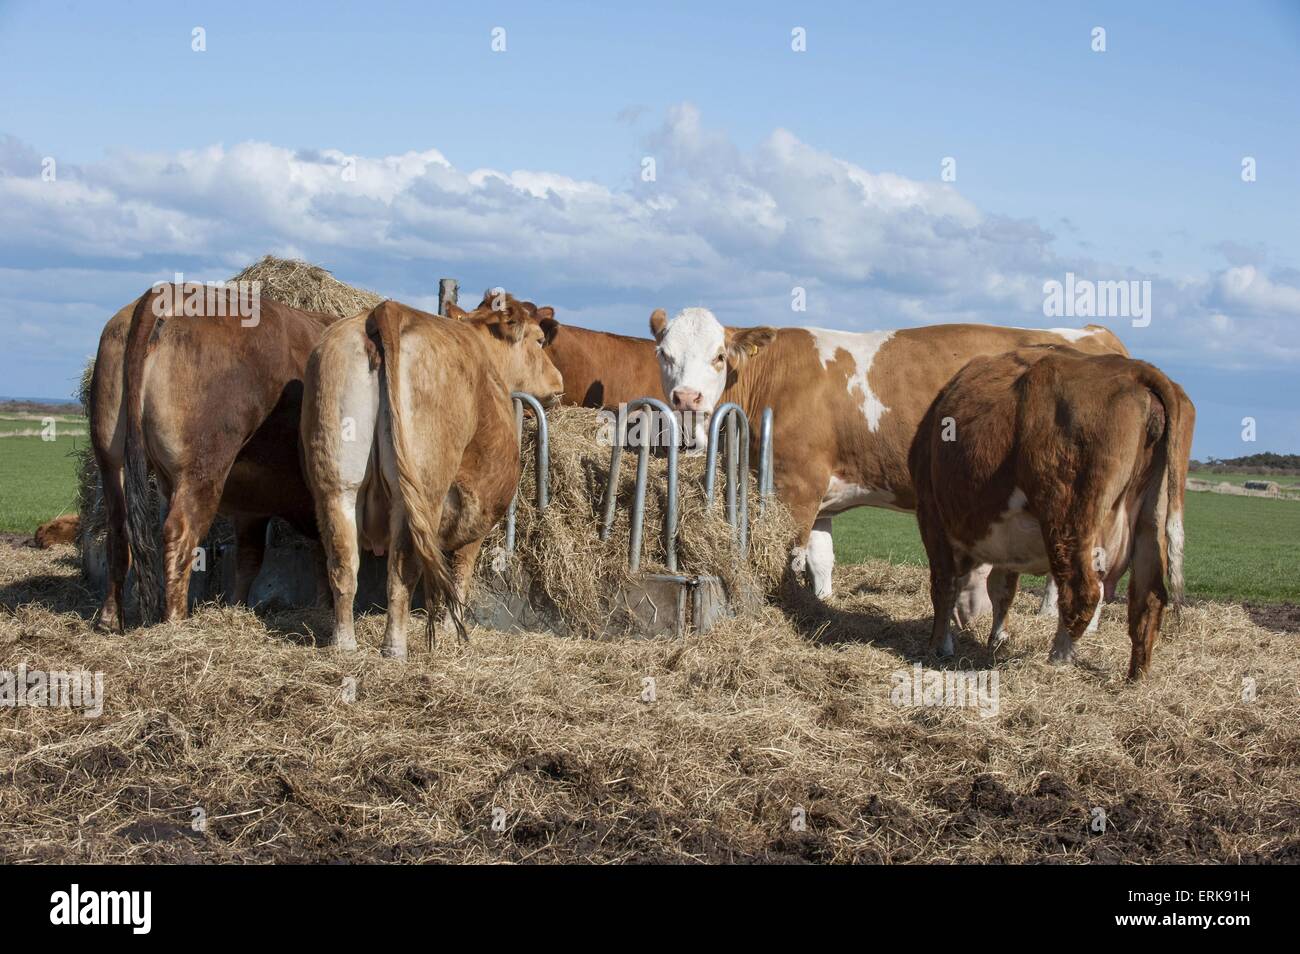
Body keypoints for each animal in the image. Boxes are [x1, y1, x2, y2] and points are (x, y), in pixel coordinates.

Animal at [301, 297, 564, 657]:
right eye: (539, 340)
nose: (559, 382)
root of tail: (387, 310)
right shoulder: (476, 516)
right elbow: (460, 572)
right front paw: (452, 630)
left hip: (337, 483)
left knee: (343, 564)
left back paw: (345, 646)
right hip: (421, 493)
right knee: (402, 571)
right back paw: (395, 650)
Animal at [647, 307, 1129, 608]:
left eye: (719, 356)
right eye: (664, 354)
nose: (686, 397)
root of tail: (1094, 333)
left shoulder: (796, 484)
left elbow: (790, 556)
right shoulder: (823, 495)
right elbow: (821, 560)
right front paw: (821, 604)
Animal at [909, 348, 1194, 678]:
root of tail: (1135, 369)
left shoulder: (931, 515)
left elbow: (944, 585)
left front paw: (939, 646)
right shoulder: (1009, 542)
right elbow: (1002, 589)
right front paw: (998, 639)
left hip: (1068, 517)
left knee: (1082, 593)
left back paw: (1058, 660)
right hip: (1151, 520)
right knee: (1148, 599)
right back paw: (1137, 677)